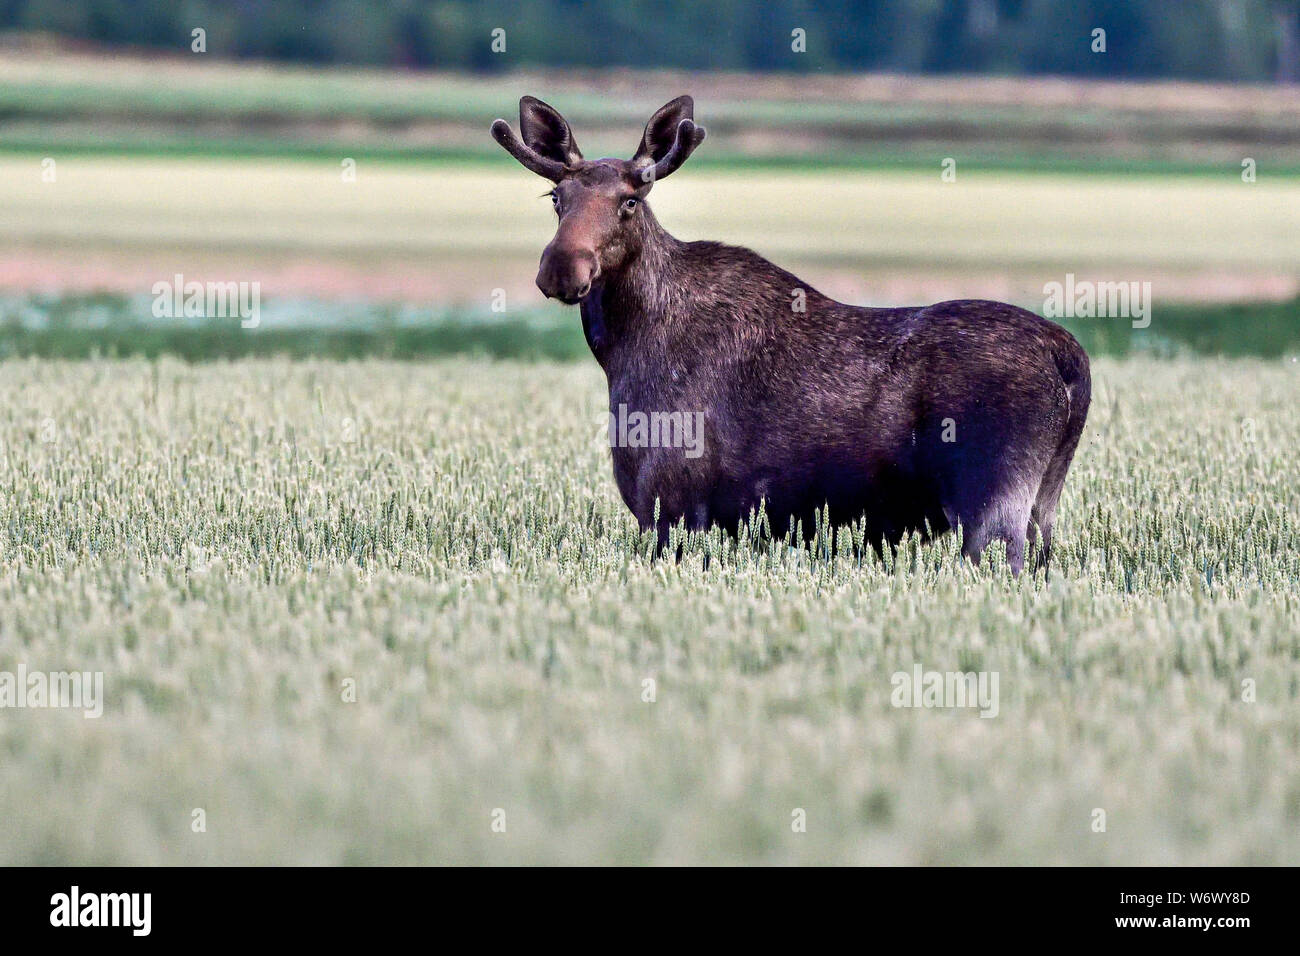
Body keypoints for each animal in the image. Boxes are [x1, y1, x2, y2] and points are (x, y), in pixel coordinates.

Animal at [490, 95, 1091, 574]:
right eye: (555, 199)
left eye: (629, 202)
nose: (561, 267)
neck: (619, 349)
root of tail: (1070, 359)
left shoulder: (671, 507)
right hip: (1042, 507)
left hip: (992, 504)